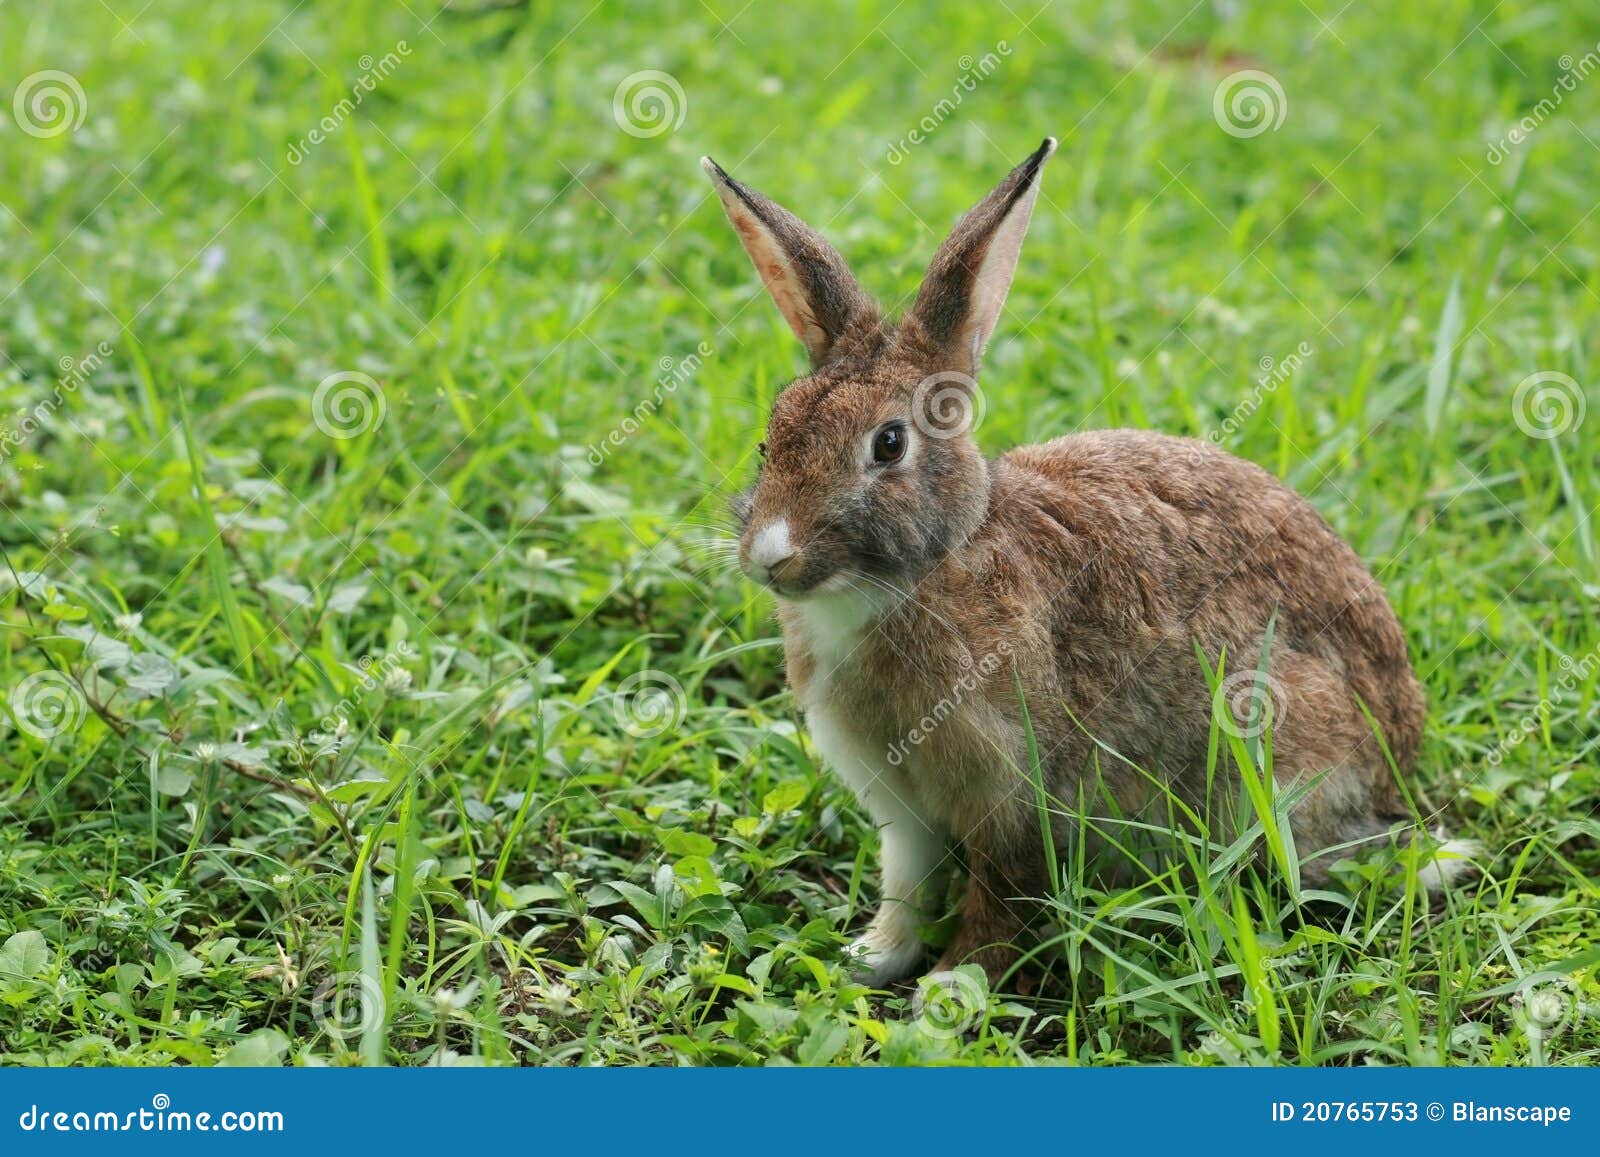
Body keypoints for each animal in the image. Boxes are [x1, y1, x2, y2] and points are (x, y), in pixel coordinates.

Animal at [701, 138, 1478, 987]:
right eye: (770, 440)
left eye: (889, 444)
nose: (772, 555)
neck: (926, 569)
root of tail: (1399, 750)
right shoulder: (903, 808)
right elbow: (907, 879)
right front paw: (871, 957)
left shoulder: (1018, 787)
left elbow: (999, 894)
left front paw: (953, 988)